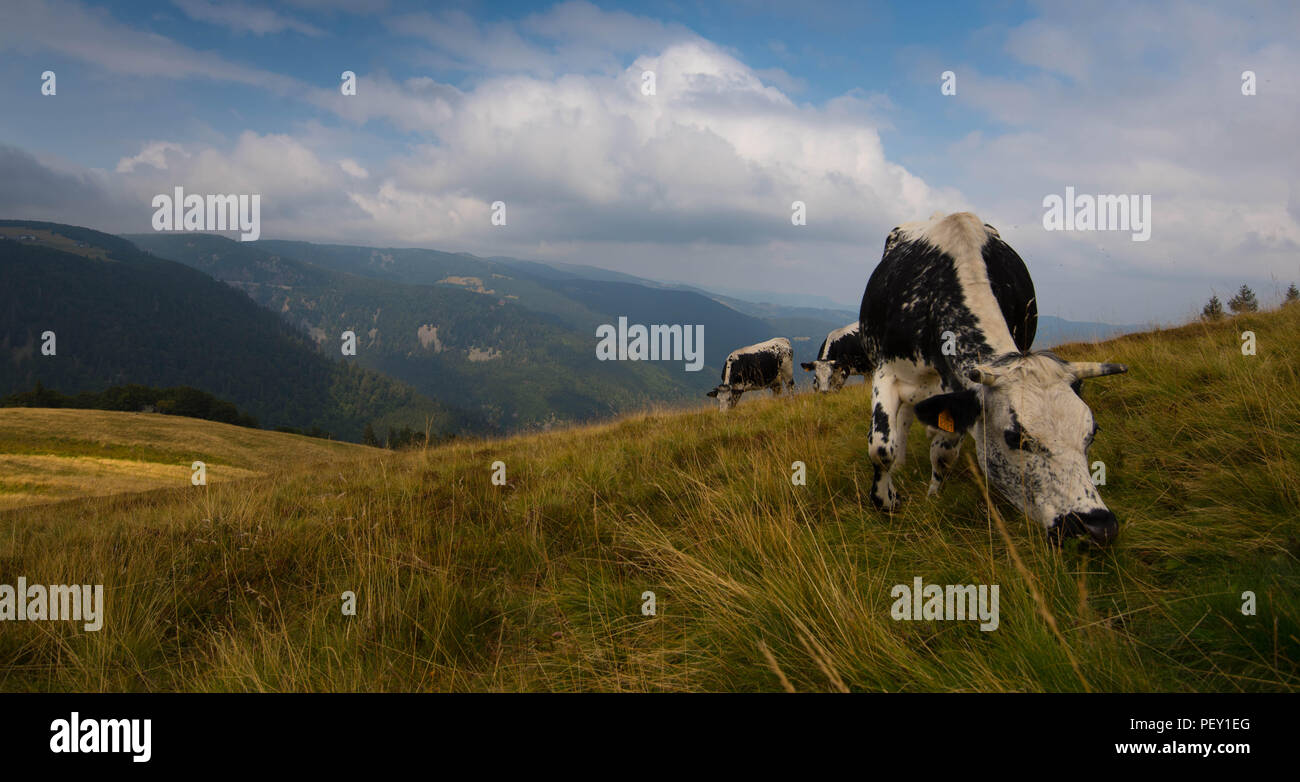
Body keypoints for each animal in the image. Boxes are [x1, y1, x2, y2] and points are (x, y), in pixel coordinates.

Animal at [859, 212, 1128, 545]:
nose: (1097, 526)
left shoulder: (960, 393)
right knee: (903, 422)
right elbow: (881, 447)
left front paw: (933, 496)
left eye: (1092, 433)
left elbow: (943, 454)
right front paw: (888, 499)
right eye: (1016, 437)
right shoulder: (887, 373)